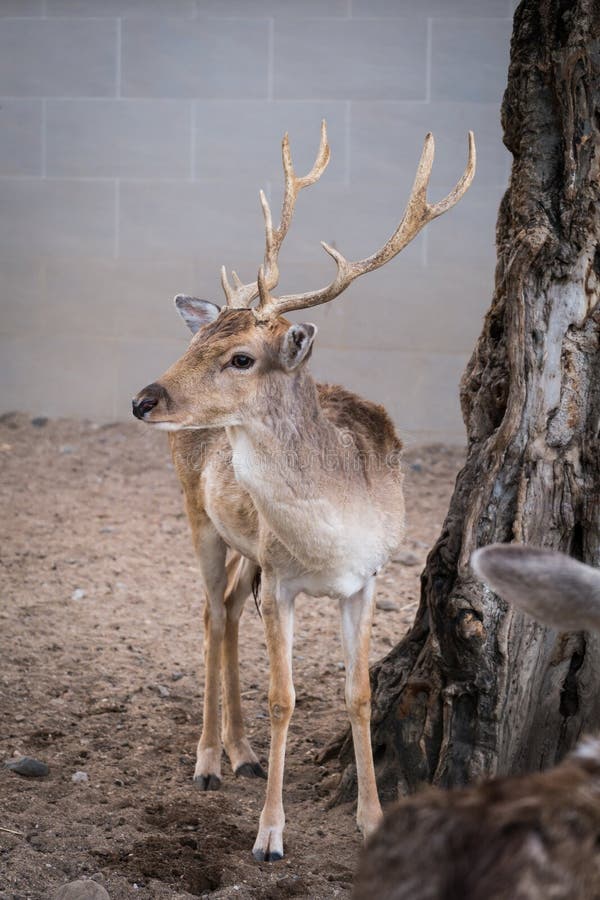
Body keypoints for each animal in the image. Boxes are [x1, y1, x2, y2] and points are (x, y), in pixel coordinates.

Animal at [131, 121, 476, 861]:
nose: (143, 399)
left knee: (231, 606)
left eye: (240, 357)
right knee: (211, 611)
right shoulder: (283, 582)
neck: (328, 542)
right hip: (198, 516)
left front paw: (372, 820)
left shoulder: (370, 578)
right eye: (197, 340)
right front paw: (268, 835)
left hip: (246, 548)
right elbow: (284, 699)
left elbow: (357, 693)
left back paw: (242, 753)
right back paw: (209, 760)